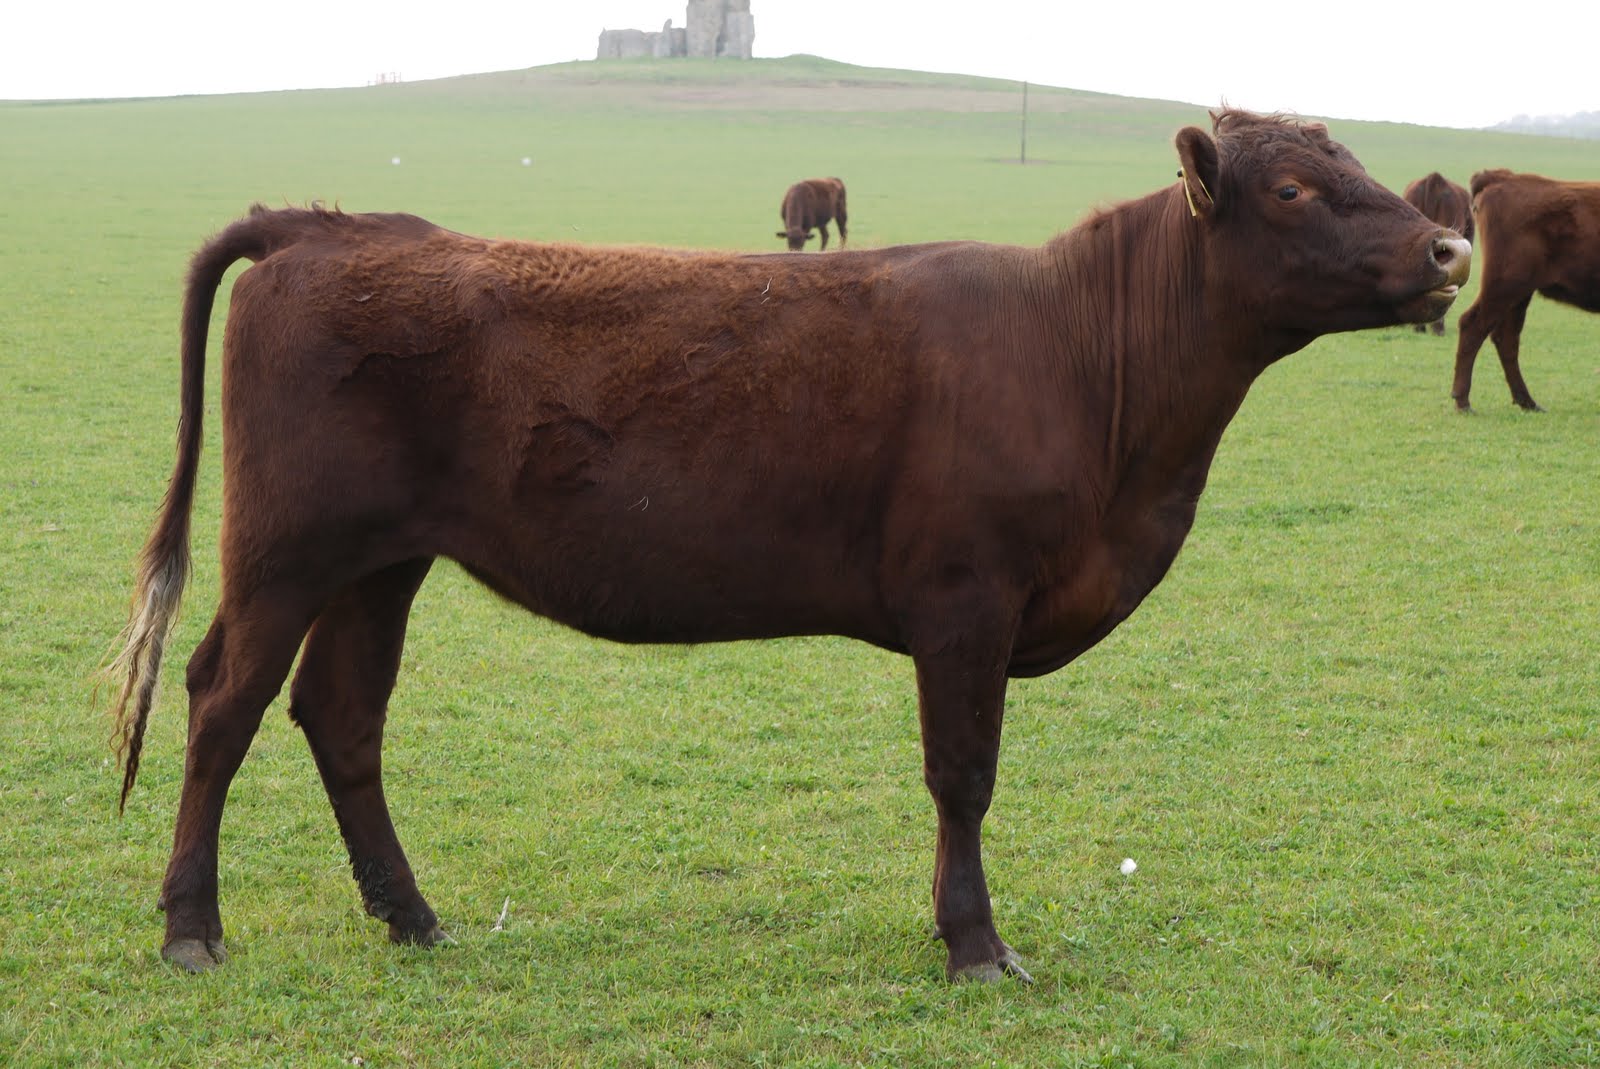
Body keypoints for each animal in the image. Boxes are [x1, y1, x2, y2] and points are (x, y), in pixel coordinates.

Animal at [1452, 169, 1600, 411]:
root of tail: (1505, 177)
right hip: (1505, 286)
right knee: (1473, 325)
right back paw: (1463, 401)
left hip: (1518, 295)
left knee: (1506, 338)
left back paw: (1526, 401)